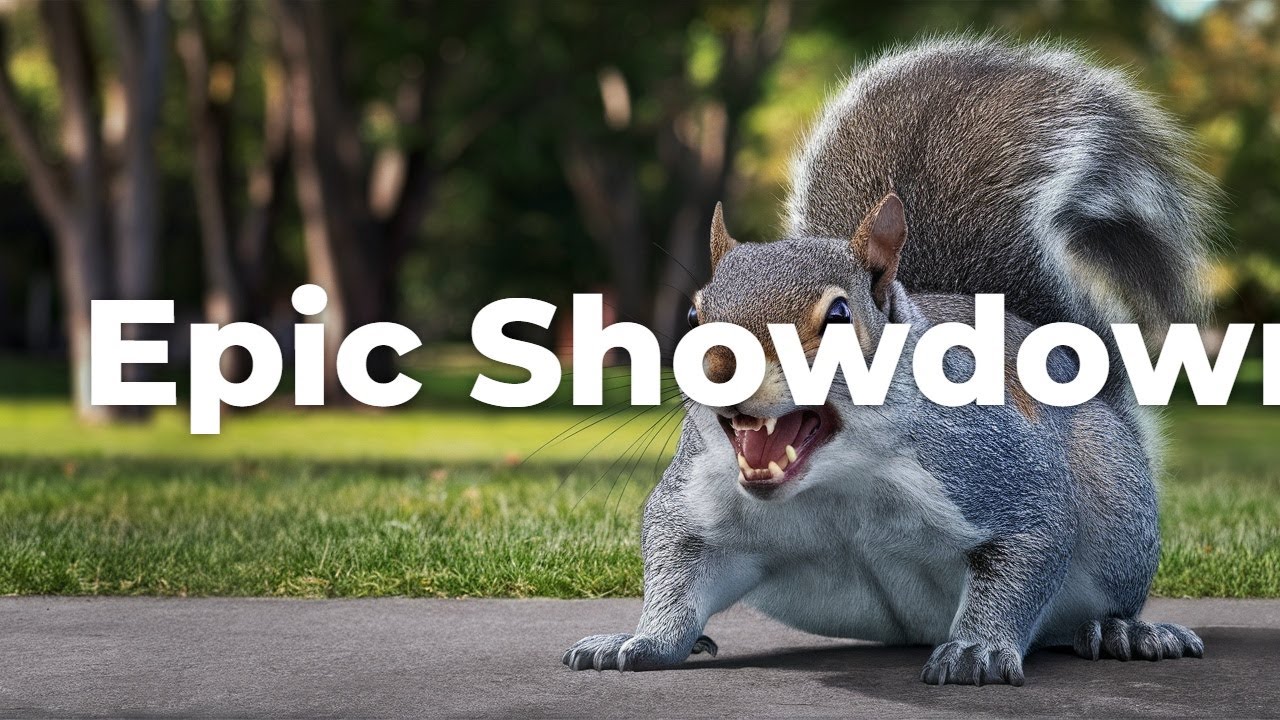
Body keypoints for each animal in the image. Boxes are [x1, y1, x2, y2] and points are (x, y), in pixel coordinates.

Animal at [563, 36, 1215, 686]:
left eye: (839, 315)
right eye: (695, 314)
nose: (720, 368)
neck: (839, 478)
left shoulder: (997, 475)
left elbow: (1026, 553)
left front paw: (979, 648)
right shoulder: (699, 499)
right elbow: (675, 565)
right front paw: (642, 640)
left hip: (1116, 508)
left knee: (1092, 607)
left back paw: (1125, 631)